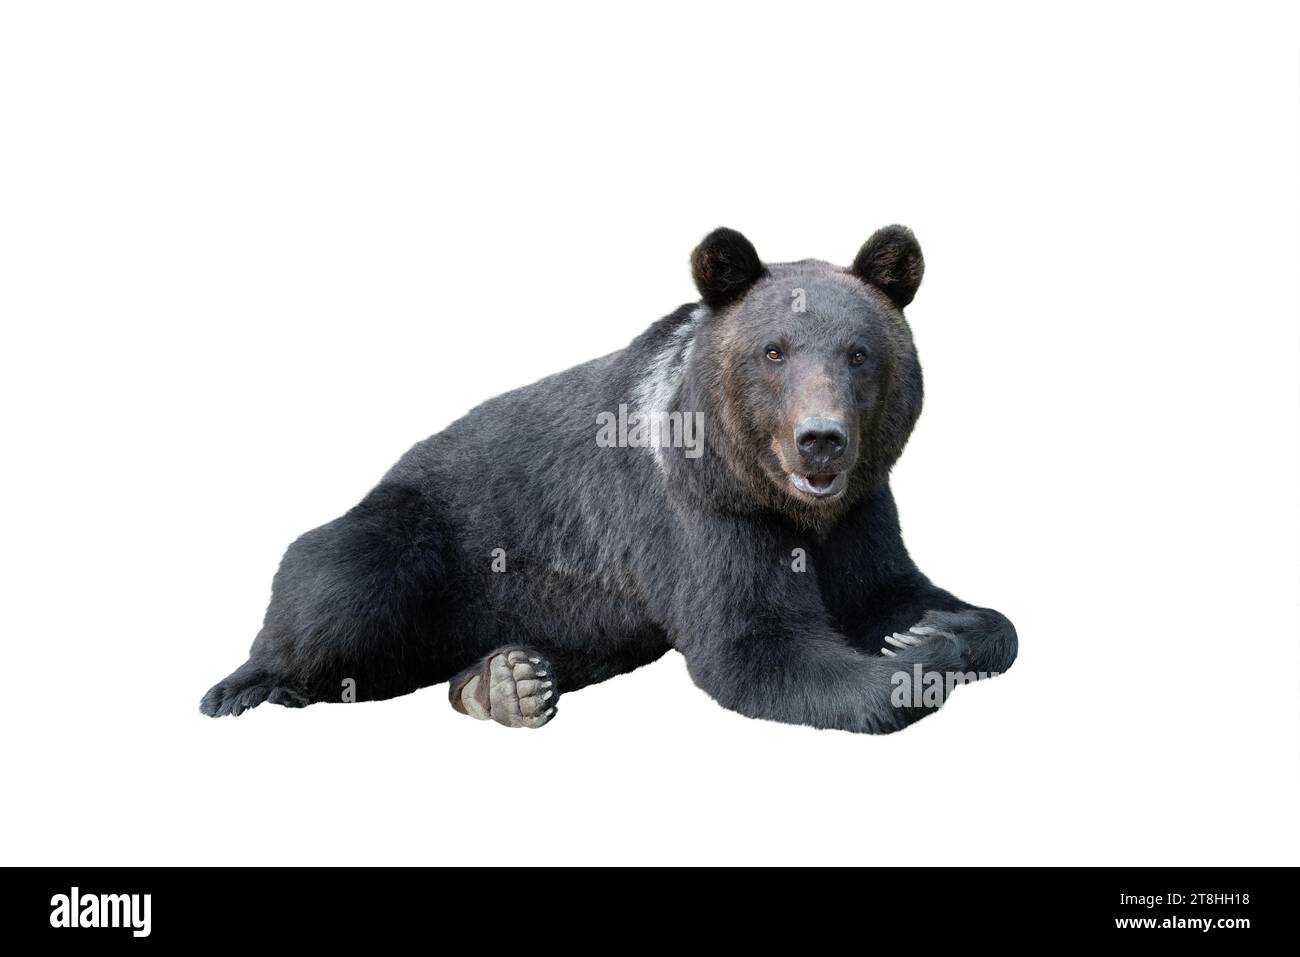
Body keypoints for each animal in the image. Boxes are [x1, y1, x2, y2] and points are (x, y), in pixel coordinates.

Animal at [200, 226, 1018, 733]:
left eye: (858, 352)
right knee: (335, 580)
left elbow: (902, 592)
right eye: (774, 351)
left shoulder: (861, 512)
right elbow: (758, 647)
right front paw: (914, 659)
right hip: (416, 529)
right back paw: (246, 684)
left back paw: (505, 682)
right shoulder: (702, 510)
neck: (787, 503)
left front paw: (934, 625)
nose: (820, 441)